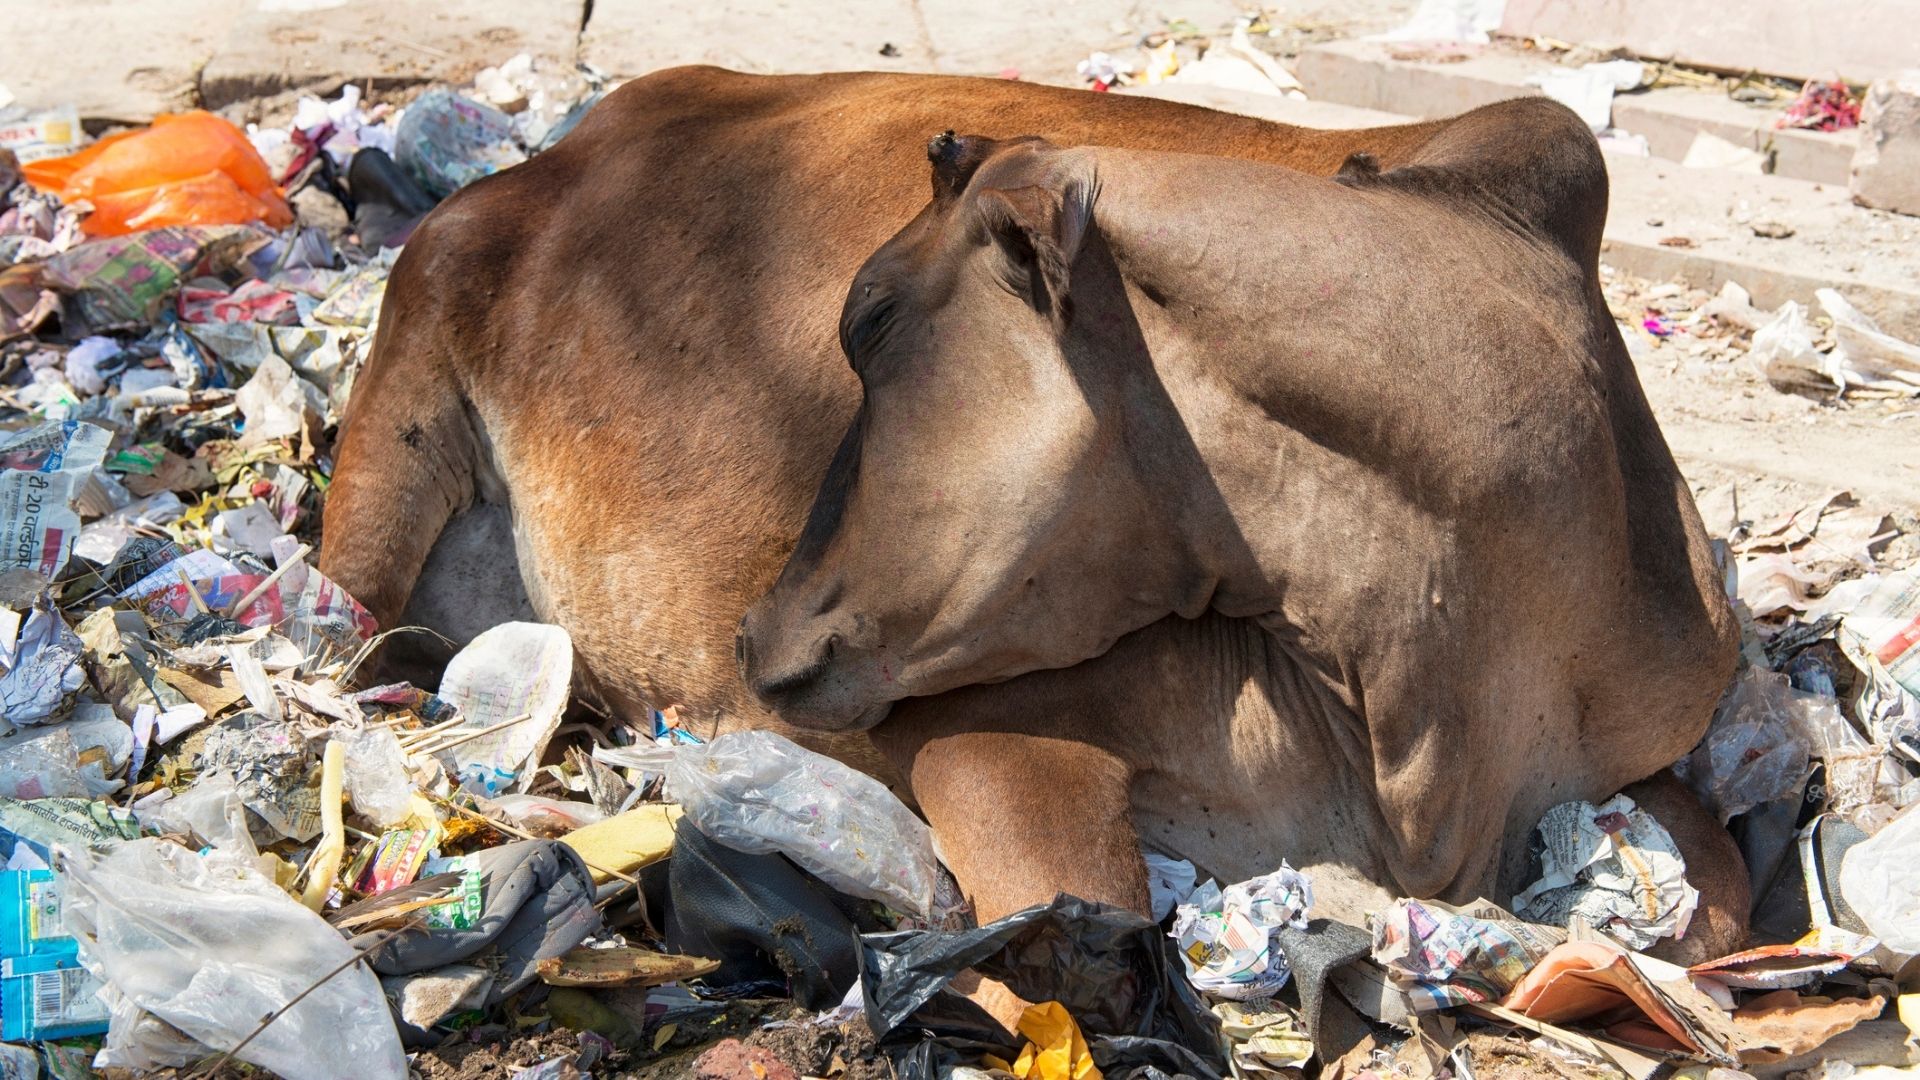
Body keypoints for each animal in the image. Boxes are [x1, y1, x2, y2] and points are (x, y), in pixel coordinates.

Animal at [321, 68, 1746, 1000]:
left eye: (871, 319)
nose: (754, 635)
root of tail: (579, 136)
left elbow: (1722, 889)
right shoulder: (994, 733)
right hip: (399, 420)